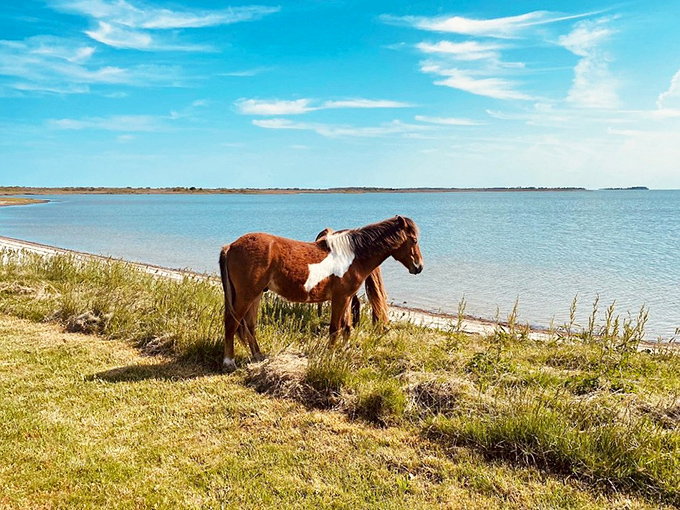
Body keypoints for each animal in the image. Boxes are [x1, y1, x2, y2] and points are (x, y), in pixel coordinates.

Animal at [218, 215, 423, 373]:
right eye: (414, 240)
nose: (419, 266)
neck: (353, 256)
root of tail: (230, 246)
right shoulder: (339, 298)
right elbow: (334, 329)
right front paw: (330, 356)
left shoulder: (347, 298)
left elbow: (347, 327)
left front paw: (344, 352)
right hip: (246, 296)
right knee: (231, 323)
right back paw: (229, 361)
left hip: (256, 295)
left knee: (249, 326)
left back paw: (258, 356)